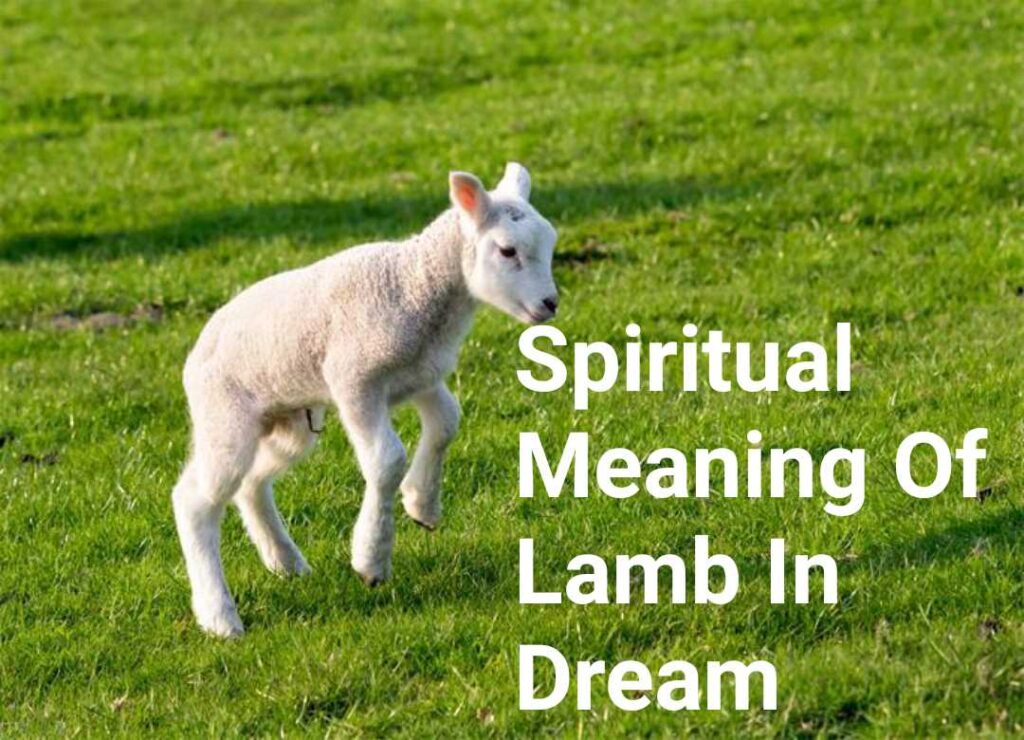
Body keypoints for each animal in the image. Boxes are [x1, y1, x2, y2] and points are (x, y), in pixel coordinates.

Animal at [172, 163, 559, 637]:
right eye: (507, 251)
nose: (549, 304)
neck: (415, 283)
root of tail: (196, 351)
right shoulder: (355, 379)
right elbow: (387, 460)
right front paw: (371, 558)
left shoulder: (421, 375)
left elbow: (447, 422)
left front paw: (421, 504)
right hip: (224, 414)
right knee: (195, 500)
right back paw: (219, 616)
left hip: (289, 421)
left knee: (251, 483)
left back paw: (286, 563)